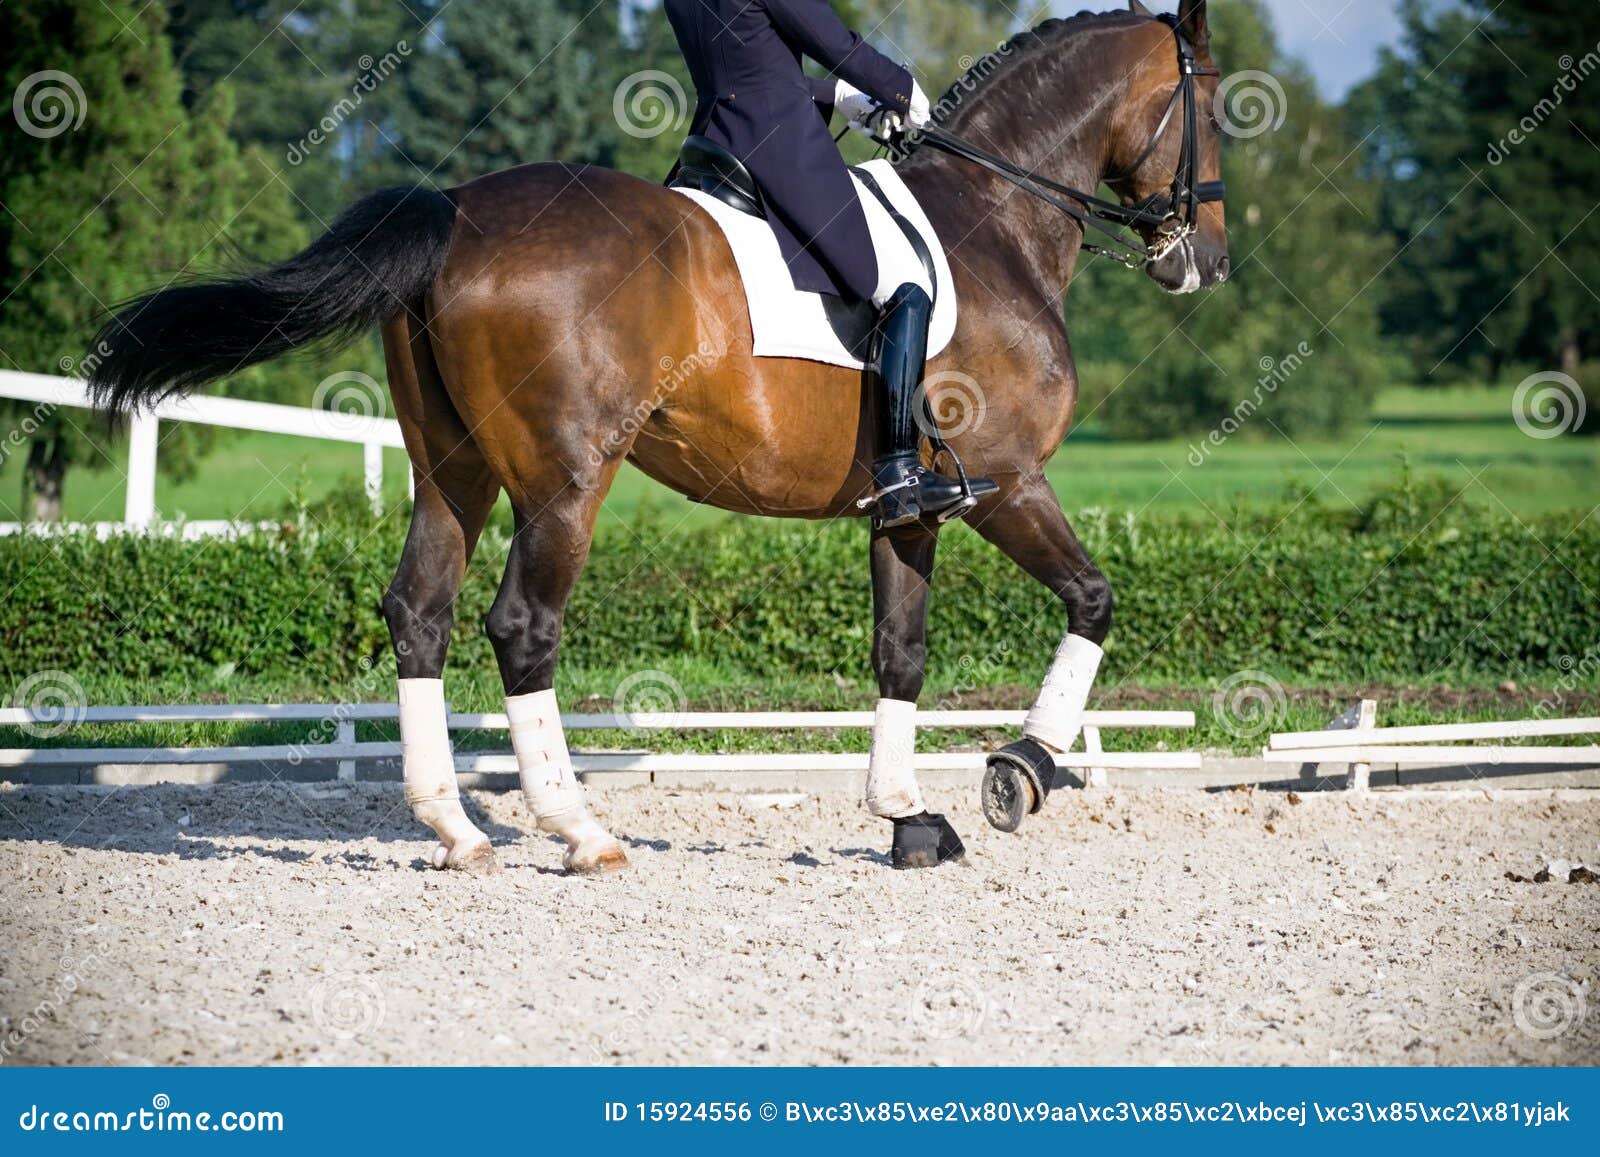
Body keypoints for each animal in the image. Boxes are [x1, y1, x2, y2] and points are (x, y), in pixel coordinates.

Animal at [86, 0, 1229, 873]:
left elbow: (900, 652)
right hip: (565, 481)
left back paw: (459, 832)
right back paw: (581, 832)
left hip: (453, 468)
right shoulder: (1005, 481)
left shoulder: (910, 509)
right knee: (521, 627)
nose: (1204, 263)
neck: (994, 214)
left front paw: (908, 818)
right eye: (1217, 106)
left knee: (419, 611)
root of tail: (456, 210)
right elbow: (1093, 599)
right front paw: (1018, 774)